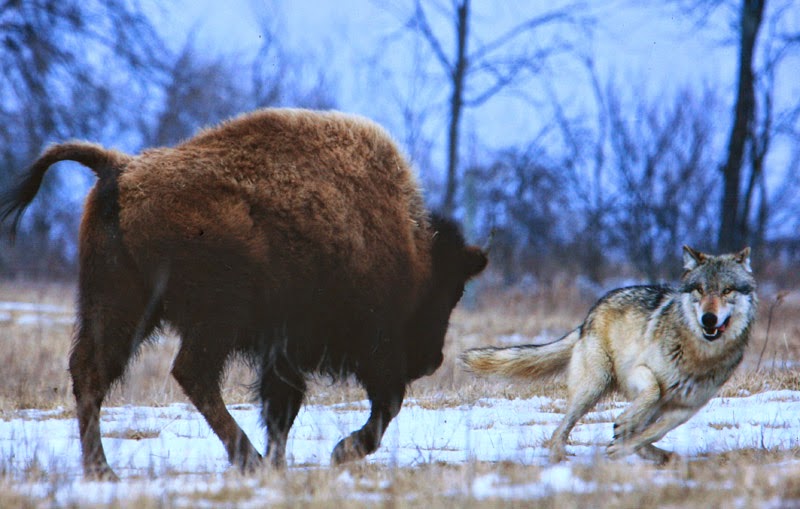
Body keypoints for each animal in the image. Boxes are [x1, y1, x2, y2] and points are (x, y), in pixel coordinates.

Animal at [461, 246, 756, 464]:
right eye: (700, 290)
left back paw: (658, 454)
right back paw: (561, 460)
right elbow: (653, 391)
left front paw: (624, 444)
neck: (699, 354)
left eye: (727, 290)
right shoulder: (638, 372)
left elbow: (653, 433)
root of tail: (588, 316)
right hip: (593, 386)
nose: (709, 319)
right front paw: (624, 430)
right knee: (559, 431)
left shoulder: (686, 409)